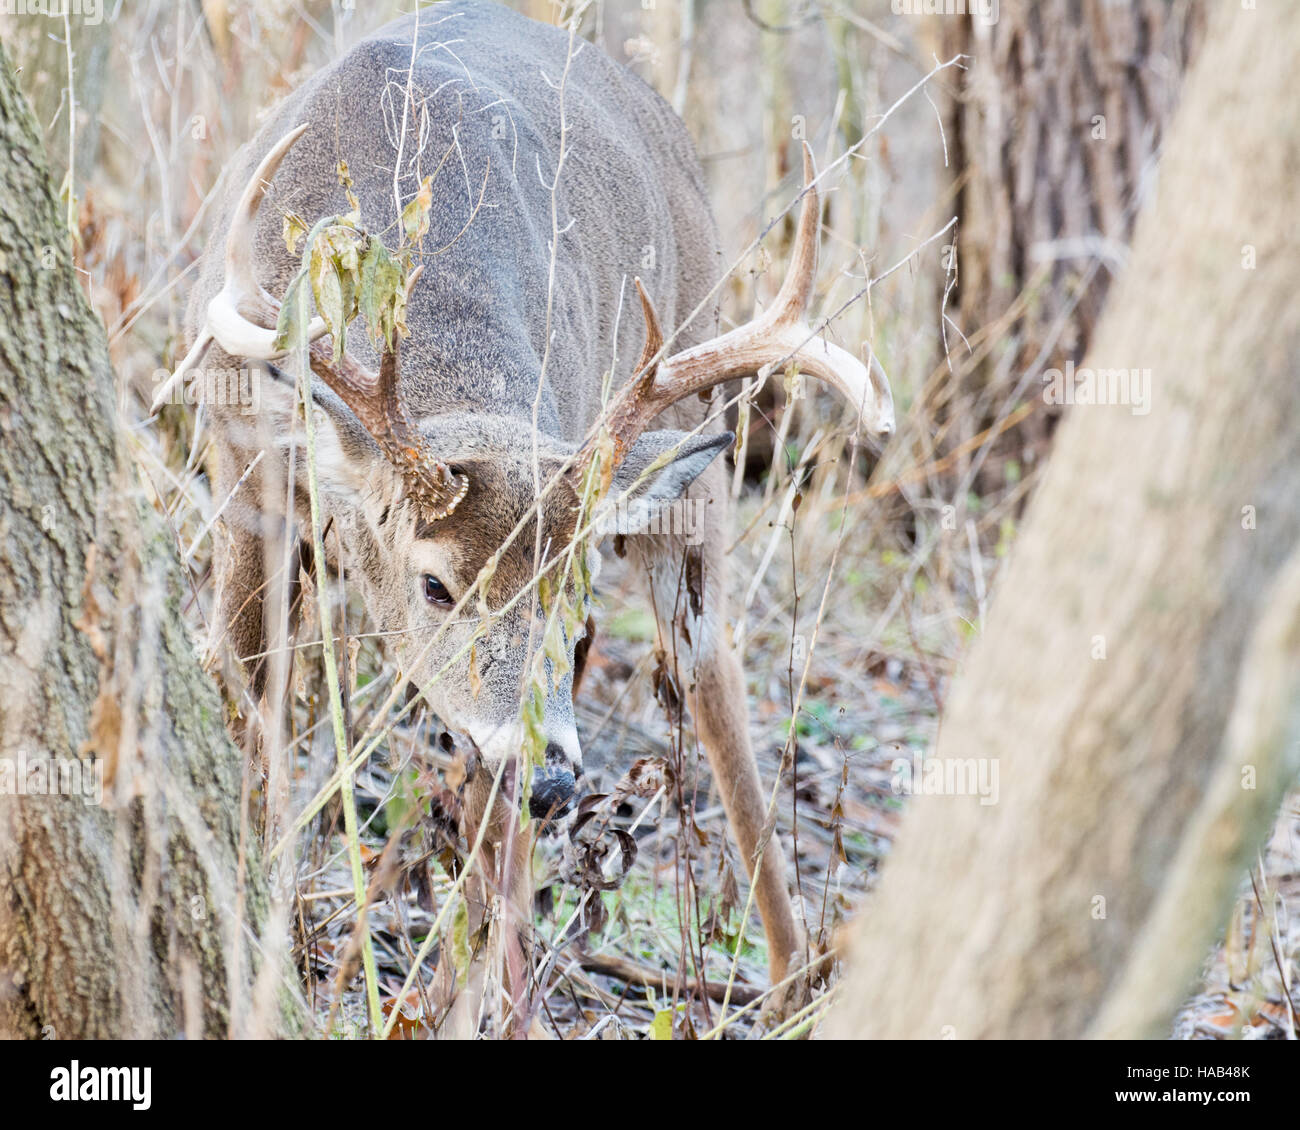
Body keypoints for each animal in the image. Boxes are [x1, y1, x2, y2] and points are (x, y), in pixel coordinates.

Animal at [174, 0, 893, 1019]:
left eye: (569, 586)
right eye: (434, 585)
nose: (556, 776)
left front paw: (469, 1008)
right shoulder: (243, 469)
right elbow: (245, 695)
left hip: (691, 406)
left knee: (709, 672)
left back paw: (794, 982)